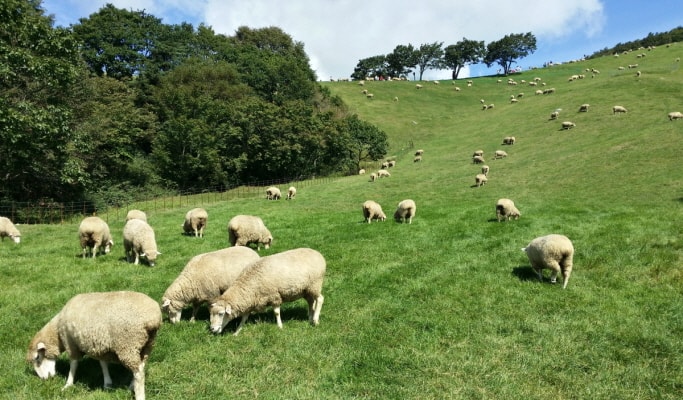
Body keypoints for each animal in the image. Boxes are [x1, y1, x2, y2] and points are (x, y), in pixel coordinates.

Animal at [27, 291, 161, 400]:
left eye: (37, 358)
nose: (44, 379)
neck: (57, 332)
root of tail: (153, 319)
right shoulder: (99, 346)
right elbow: (103, 364)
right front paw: (107, 383)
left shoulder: (71, 343)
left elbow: (73, 364)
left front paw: (68, 384)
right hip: (146, 345)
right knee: (141, 366)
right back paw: (131, 386)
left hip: (127, 344)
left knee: (139, 373)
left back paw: (139, 395)